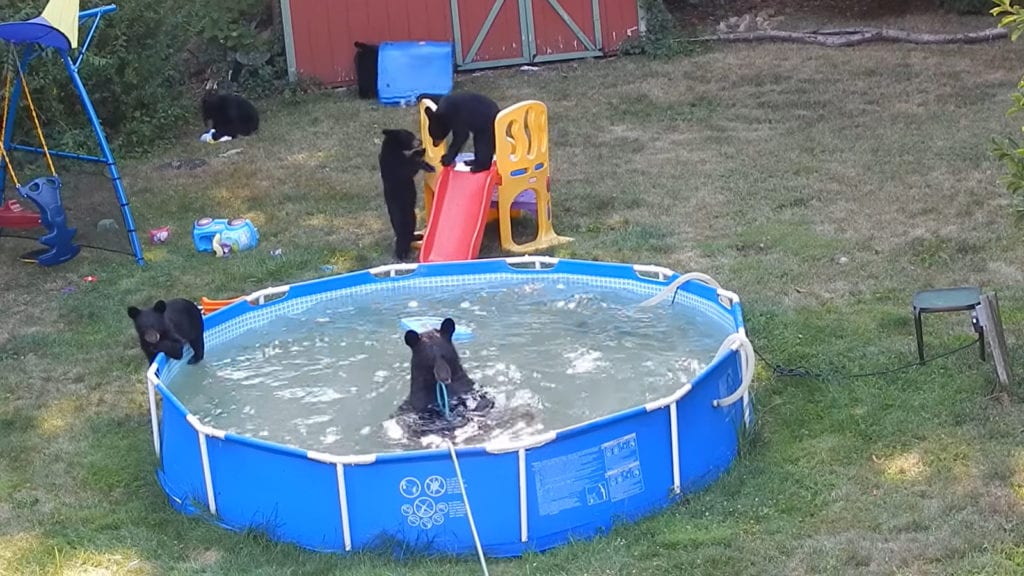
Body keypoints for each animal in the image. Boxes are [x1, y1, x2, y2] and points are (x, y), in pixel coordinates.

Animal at [379, 128, 435, 260]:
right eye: (411, 135)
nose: (420, 141)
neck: (392, 148)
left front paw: (428, 165)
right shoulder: (397, 164)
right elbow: (411, 166)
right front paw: (422, 151)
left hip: (412, 217)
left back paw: (418, 237)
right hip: (405, 219)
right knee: (404, 237)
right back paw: (402, 255)